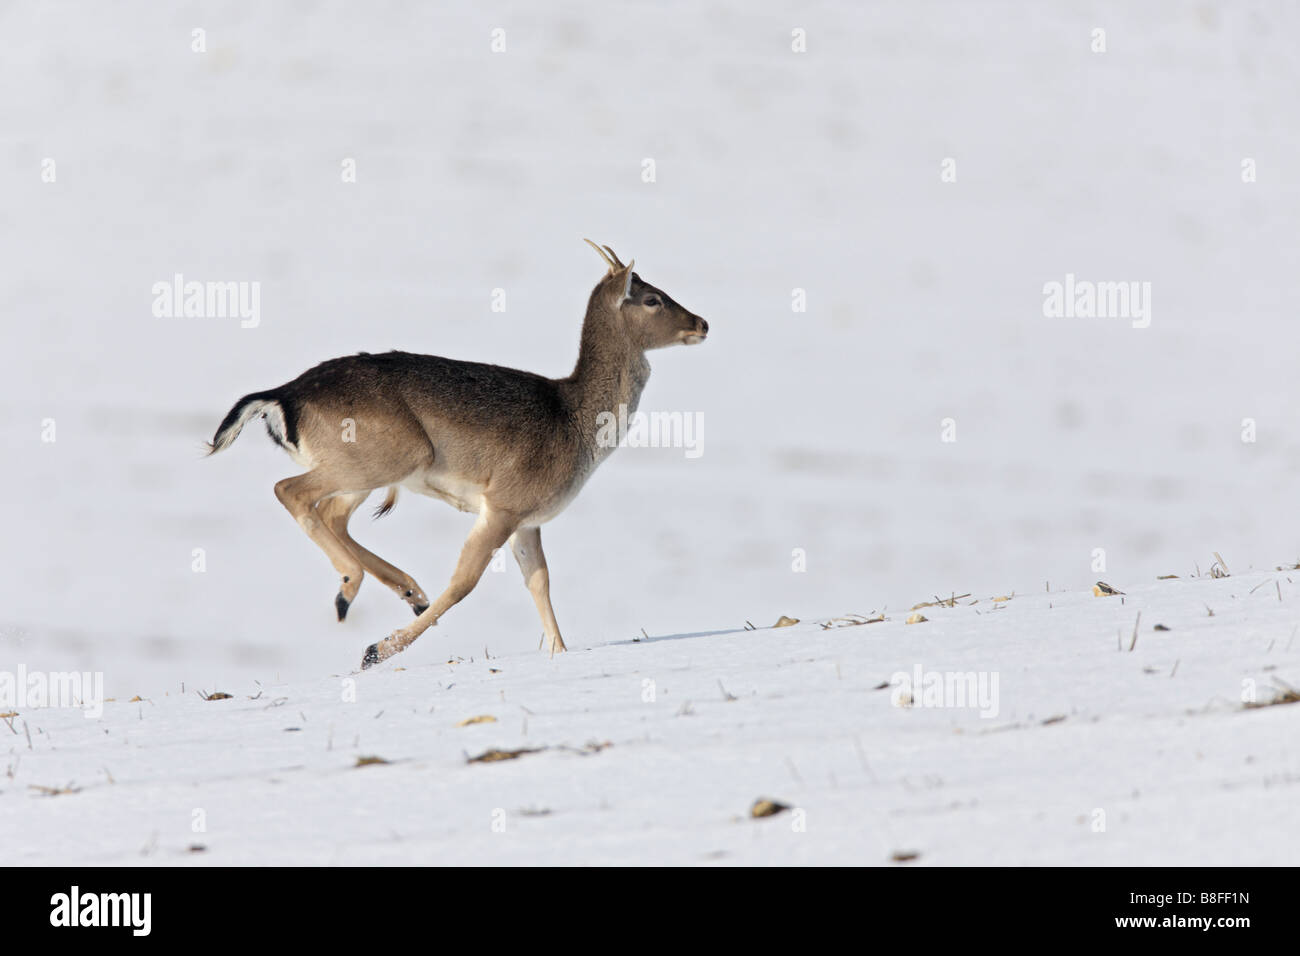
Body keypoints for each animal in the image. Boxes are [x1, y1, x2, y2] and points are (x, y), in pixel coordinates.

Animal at [206, 241, 708, 670]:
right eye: (652, 299)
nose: (702, 323)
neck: (577, 424)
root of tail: (281, 397)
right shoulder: (504, 502)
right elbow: (465, 583)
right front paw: (376, 651)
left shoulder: (527, 518)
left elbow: (540, 582)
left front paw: (560, 653)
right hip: (390, 454)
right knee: (289, 490)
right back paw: (353, 590)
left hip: (364, 469)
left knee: (331, 513)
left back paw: (405, 590)